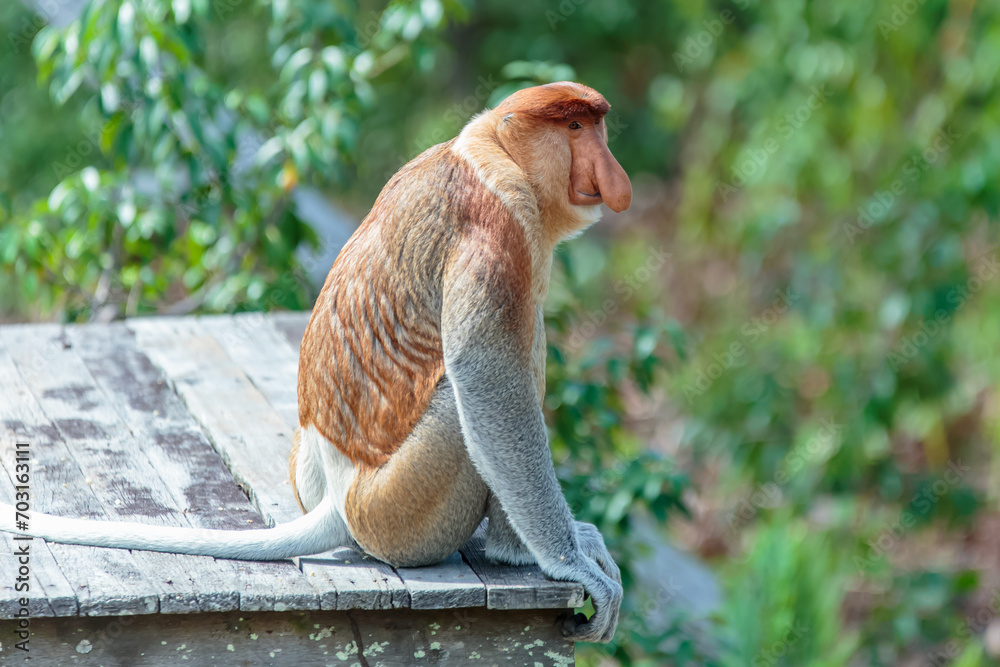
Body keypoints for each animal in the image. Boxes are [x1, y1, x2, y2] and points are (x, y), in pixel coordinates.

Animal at [0, 81, 632, 643]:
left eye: (596, 125)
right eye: (575, 127)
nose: (613, 176)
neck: (491, 149)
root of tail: (335, 494)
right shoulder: (500, 226)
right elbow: (485, 375)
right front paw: (572, 561)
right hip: (398, 507)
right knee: (485, 379)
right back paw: (510, 551)